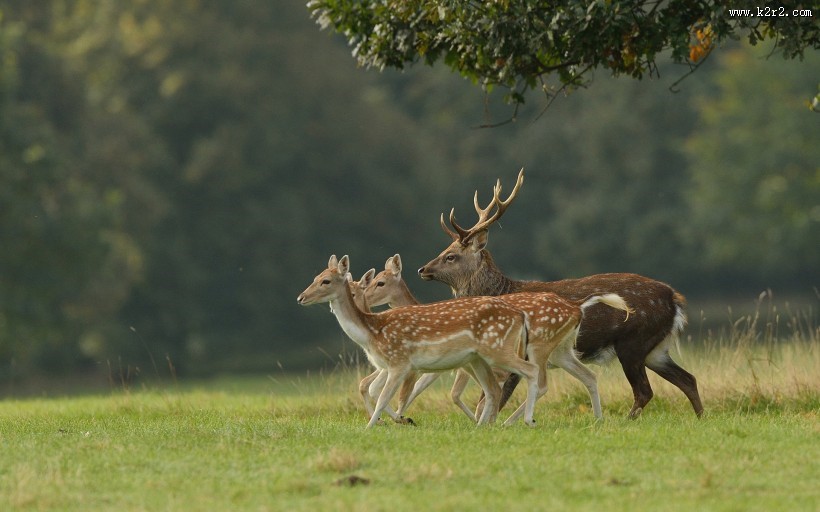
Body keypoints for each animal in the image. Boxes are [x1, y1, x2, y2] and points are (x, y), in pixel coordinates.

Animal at [297, 255, 541, 428]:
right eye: (315, 278)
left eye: (326, 281)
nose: (301, 297)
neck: (372, 331)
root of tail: (519, 315)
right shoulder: (391, 366)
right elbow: (376, 391)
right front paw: (397, 420)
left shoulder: (400, 362)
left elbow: (384, 397)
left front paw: (373, 426)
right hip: (476, 360)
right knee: (493, 389)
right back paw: (484, 425)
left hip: (497, 349)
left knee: (529, 371)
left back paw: (526, 420)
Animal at [366, 254, 630, 420]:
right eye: (373, 279)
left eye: (380, 282)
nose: (363, 295)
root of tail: (576, 307)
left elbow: (449, 393)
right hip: (562, 351)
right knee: (589, 377)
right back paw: (597, 419)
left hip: (540, 348)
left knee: (542, 383)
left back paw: (512, 421)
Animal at [417, 169, 704, 419]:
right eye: (444, 250)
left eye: (451, 256)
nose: (423, 269)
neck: (500, 289)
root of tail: (674, 299)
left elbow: (493, 401)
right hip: (656, 349)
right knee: (688, 379)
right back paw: (700, 418)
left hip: (633, 342)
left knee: (644, 391)